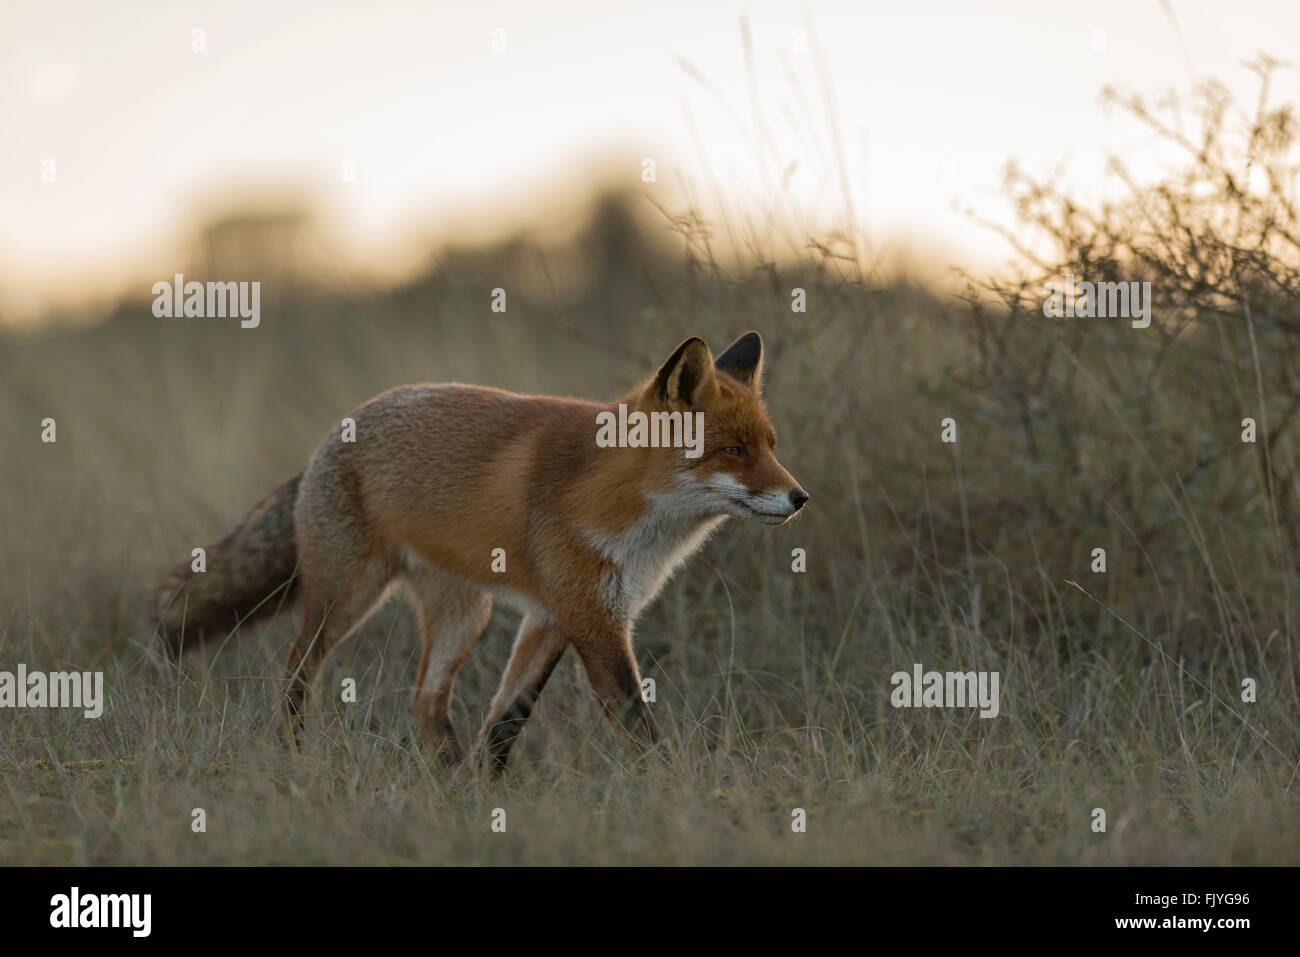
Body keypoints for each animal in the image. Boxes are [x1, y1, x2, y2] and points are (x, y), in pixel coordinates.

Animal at [155, 331, 808, 769]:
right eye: (734, 451)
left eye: (772, 446)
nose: (800, 497)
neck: (625, 505)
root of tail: (333, 433)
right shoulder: (592, 619)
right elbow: (636, 725)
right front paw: (673, 790)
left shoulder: (555, 617)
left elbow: (506, 720)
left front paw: (481, 792)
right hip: (343, 599)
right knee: (294, 674)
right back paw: (293, 758)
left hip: (466, 616)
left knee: (425, 704)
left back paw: (443, 781)